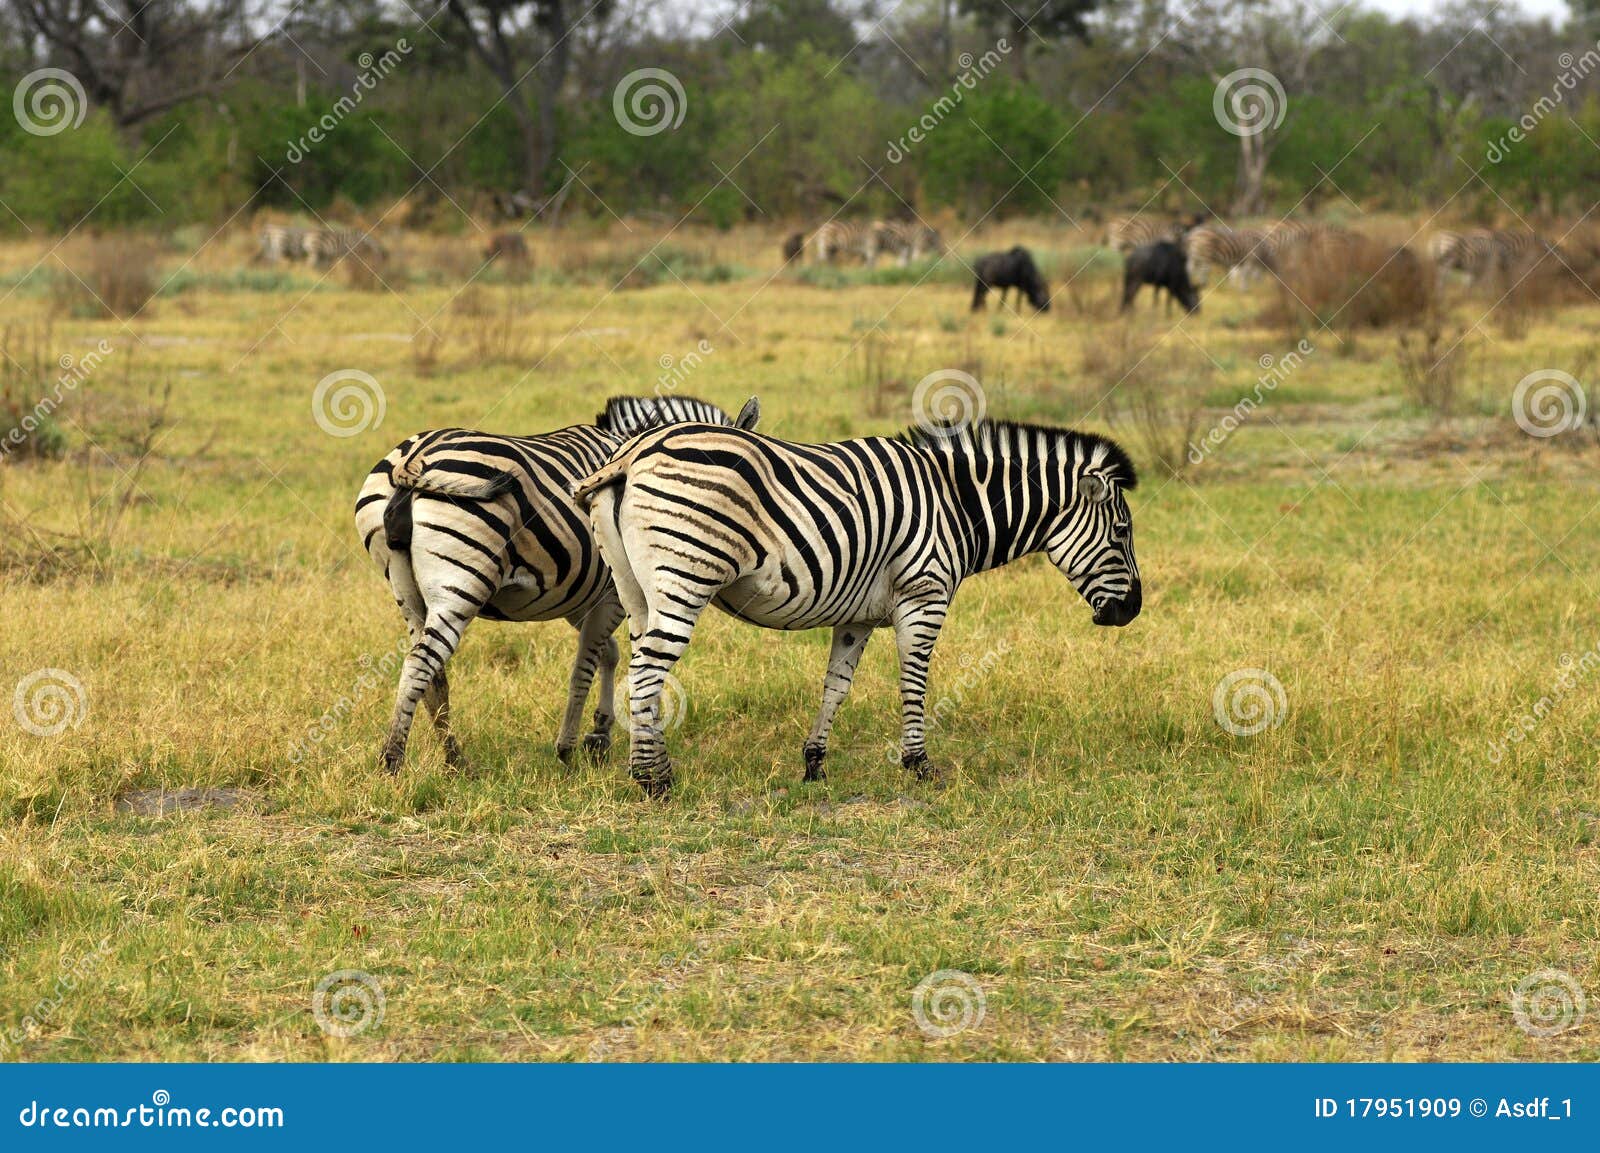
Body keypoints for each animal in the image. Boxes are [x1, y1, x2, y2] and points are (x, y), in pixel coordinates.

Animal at [354, 393, 760, 773]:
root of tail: (414, 456)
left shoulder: (579, 599)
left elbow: (607, 653)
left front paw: (599, 733)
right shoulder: (612, 596)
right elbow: (587, 665)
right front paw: (569, 747)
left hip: (406, 591)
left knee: (432, 676)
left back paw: (454, 760)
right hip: (462, 582)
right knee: (421, 662)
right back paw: (394, 762)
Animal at [573, 419, 1141, 796]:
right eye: (1122, 532)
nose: (1132, 610)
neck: (958, 506)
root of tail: (634, 451)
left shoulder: (857, 616)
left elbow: (836, 688)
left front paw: (814, 764)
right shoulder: (923, 596)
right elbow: (914, 682)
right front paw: (919, 765)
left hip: (637, 588)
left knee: (643, 665)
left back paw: (655, 766)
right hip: (686, 575)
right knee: (648, 671)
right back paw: (652, 781)